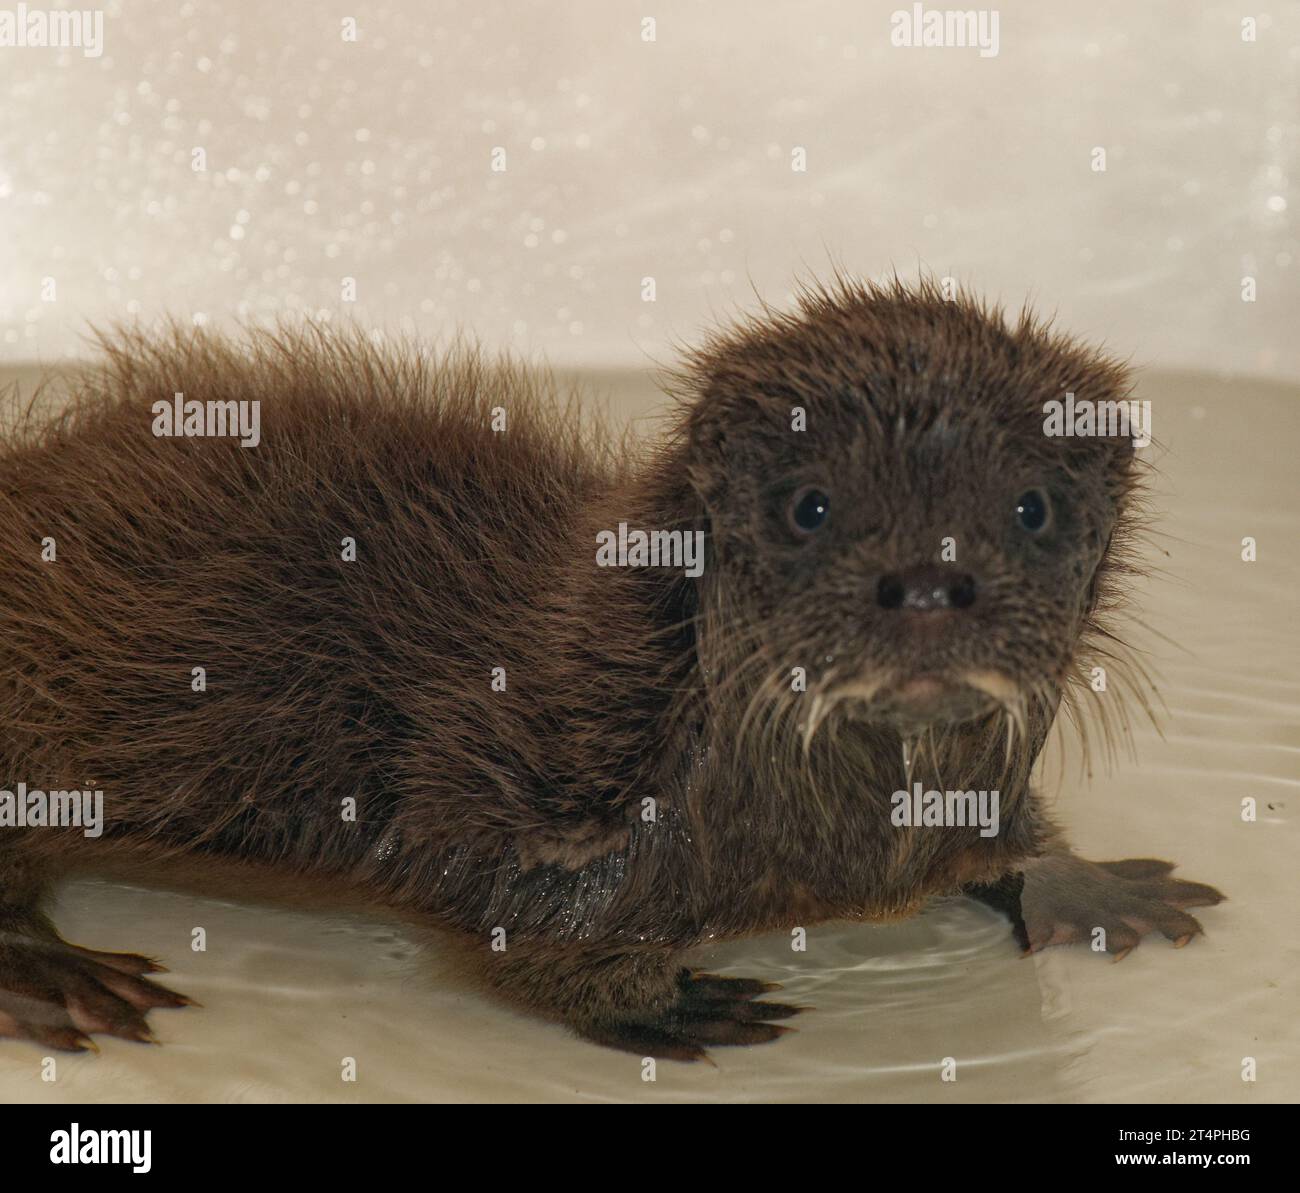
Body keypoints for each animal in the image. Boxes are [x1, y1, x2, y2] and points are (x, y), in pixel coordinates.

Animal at [0, 278, 1223, 1061]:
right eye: (811, 505)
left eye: (1031, 506)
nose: (928, 586)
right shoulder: (530, 788)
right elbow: (520, 930)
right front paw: (672, 1006)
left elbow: (1015, 836)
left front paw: (1098, 886)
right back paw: (62, 975)